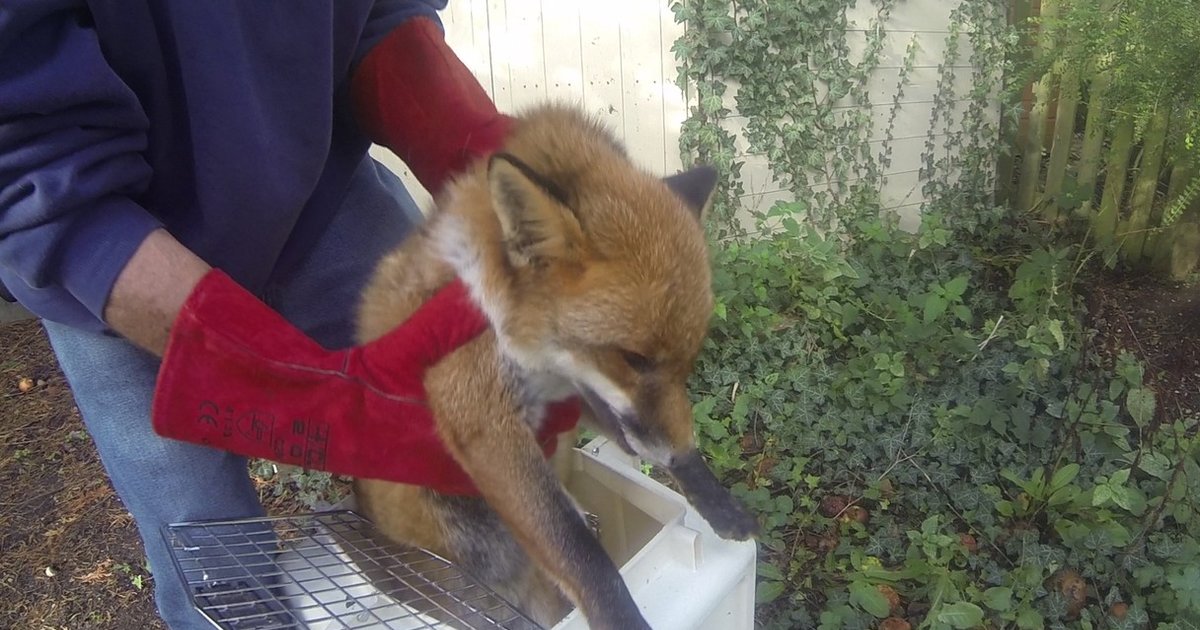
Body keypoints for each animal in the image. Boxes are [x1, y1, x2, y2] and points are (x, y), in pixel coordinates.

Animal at [350, 103, 759, 630]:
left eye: (688, 361)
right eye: (634, 359)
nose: (672, 456)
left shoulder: (579, 395)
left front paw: (718, 503)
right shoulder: (483, 417)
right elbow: (579, 550)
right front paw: (621, 618)